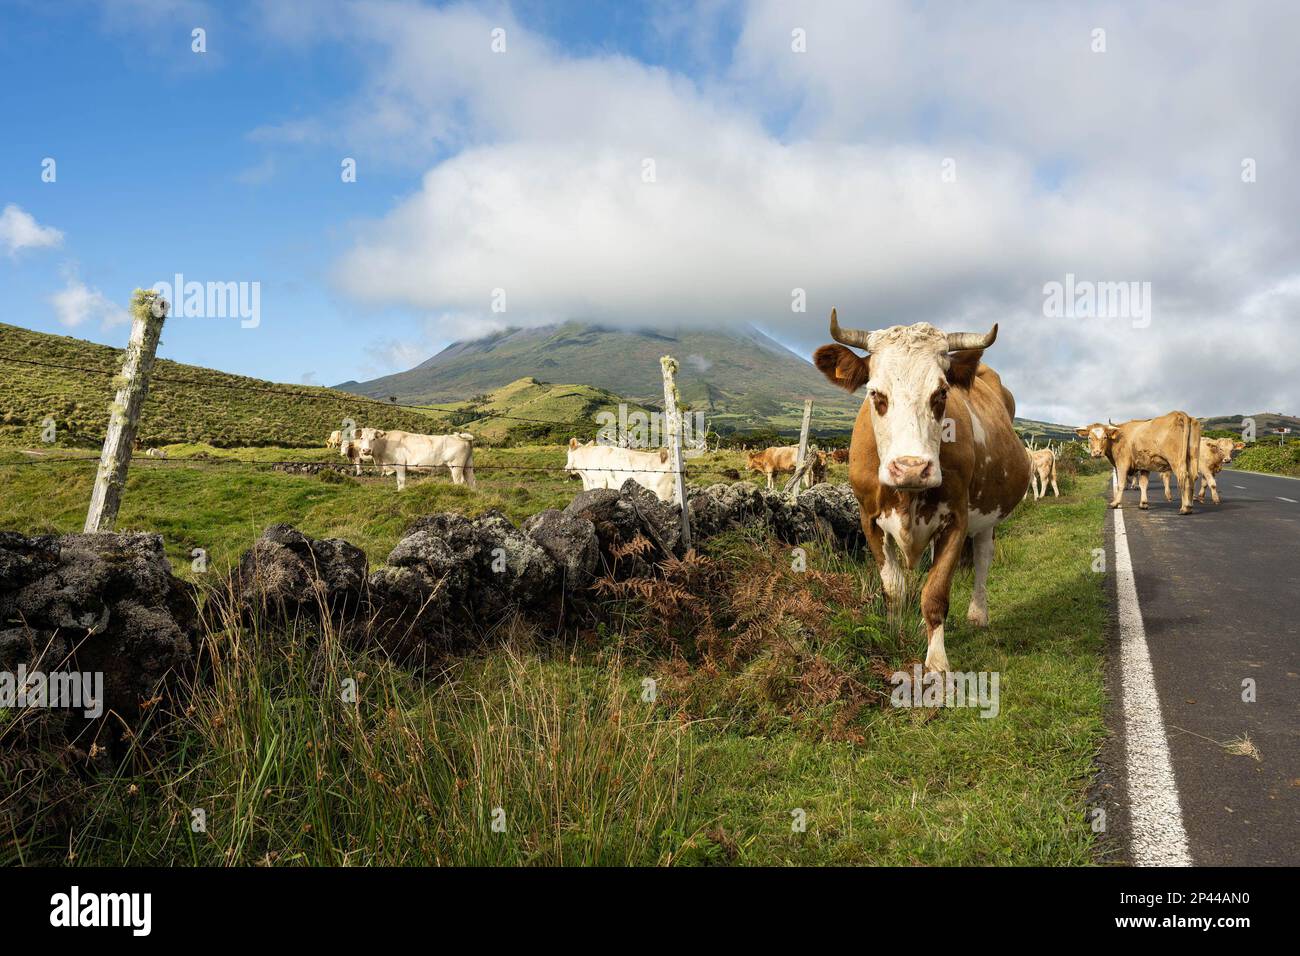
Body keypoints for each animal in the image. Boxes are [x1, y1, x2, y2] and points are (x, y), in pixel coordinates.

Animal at [813, 310, 1030, 673]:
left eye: (941, 393)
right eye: (876, 394)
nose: (911, 467)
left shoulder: (956, 520)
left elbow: (935, 593)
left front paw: (937, 663)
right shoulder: (868, 519)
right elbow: (894, 588)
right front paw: (893, 631)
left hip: (988, 517)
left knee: (983, 557)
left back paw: (978, 613)